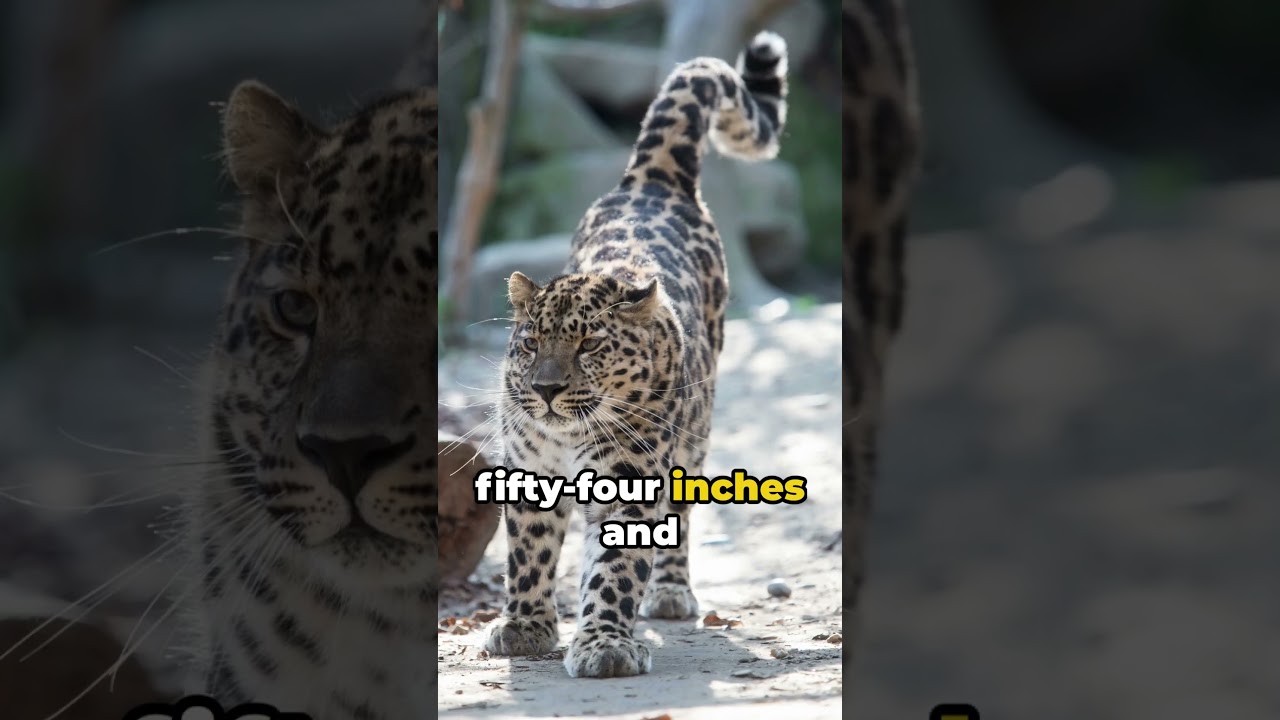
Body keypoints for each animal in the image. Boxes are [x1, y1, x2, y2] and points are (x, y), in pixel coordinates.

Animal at [481, 31, 789, 679]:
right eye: (531, 343)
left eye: (590, 344)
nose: (545, 390)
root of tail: (653, 179)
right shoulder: (528, 468)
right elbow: (528, 551)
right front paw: (524, 627)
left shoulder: (631, 475)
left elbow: (617, 567)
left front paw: (603, 644)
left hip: (695, 432)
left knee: (680, 517)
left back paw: (670, 593)